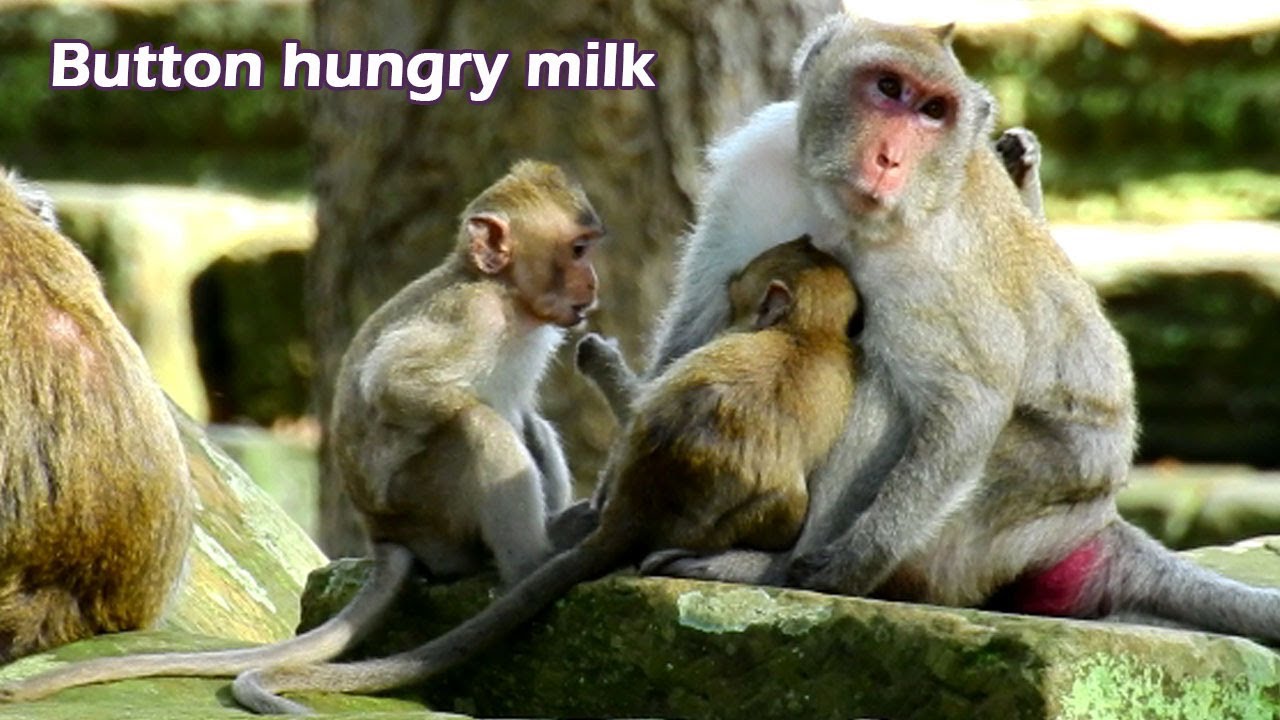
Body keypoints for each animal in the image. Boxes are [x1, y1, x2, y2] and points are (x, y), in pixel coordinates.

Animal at [636, 15, 1280, 644]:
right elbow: (696, 324)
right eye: (887, 87)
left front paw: (849, 565)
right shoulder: (758, 165)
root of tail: (1093, 522)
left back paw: (766, 566)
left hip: (1002, 516)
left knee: (883, 390)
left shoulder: (932, 259)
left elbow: (971, 399)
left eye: (933, 111)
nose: (889, 160)